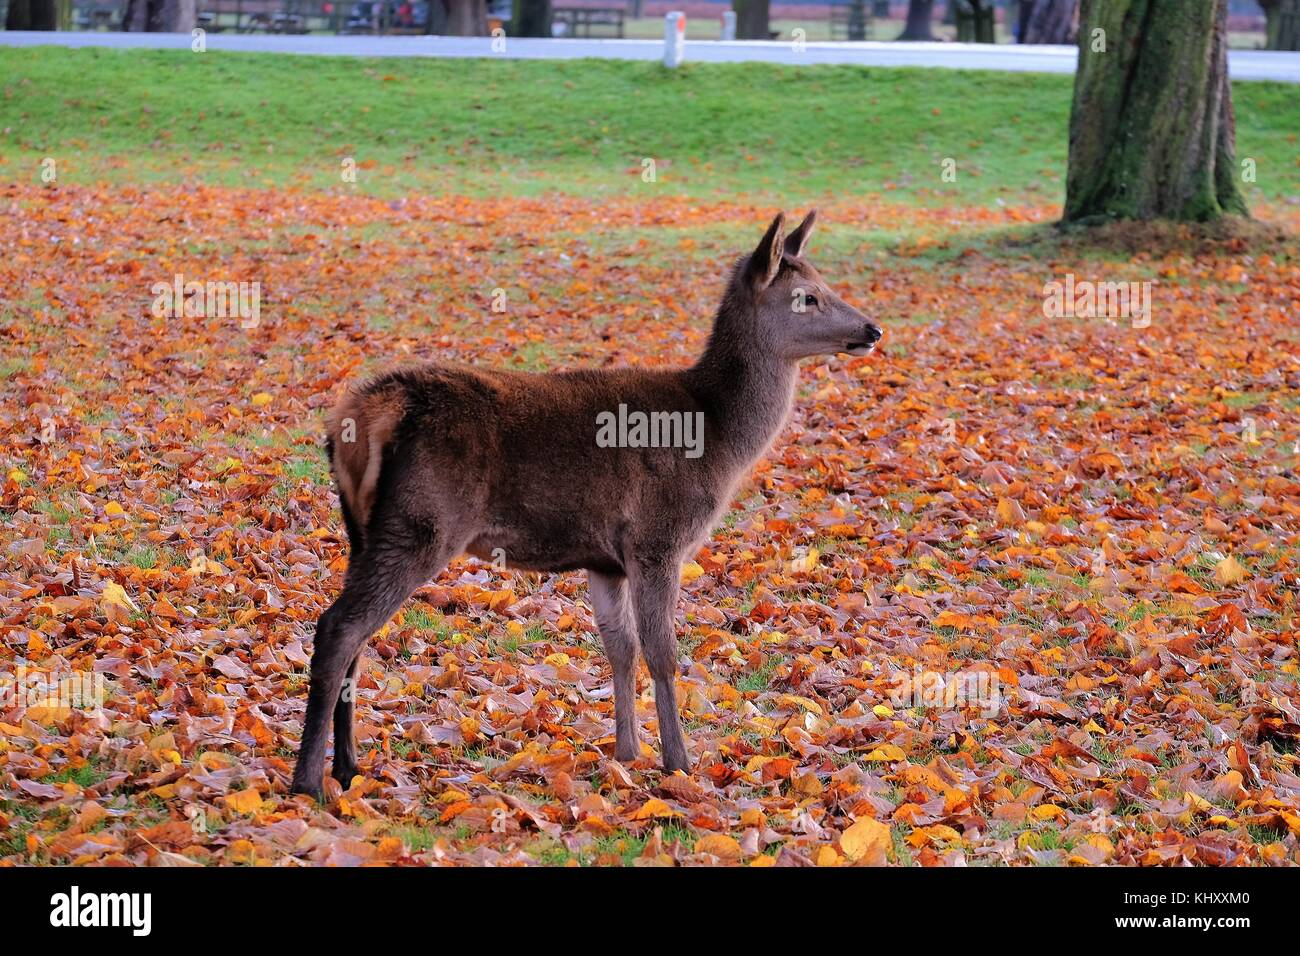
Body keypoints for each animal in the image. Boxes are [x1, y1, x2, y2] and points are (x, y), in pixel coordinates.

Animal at [289, 210, 882, 798]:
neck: (716, 437)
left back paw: (348, 768)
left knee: (357, 635)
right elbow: (662, 651)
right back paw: (309, 781)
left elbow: (620, 648)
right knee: (340, 628)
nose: (872, 330)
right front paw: (679, 764)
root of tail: (364, 414)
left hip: (361, 528)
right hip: (423, 521)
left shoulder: (605, 560)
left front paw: (627, 753)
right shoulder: (657, 539)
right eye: (807, 296)